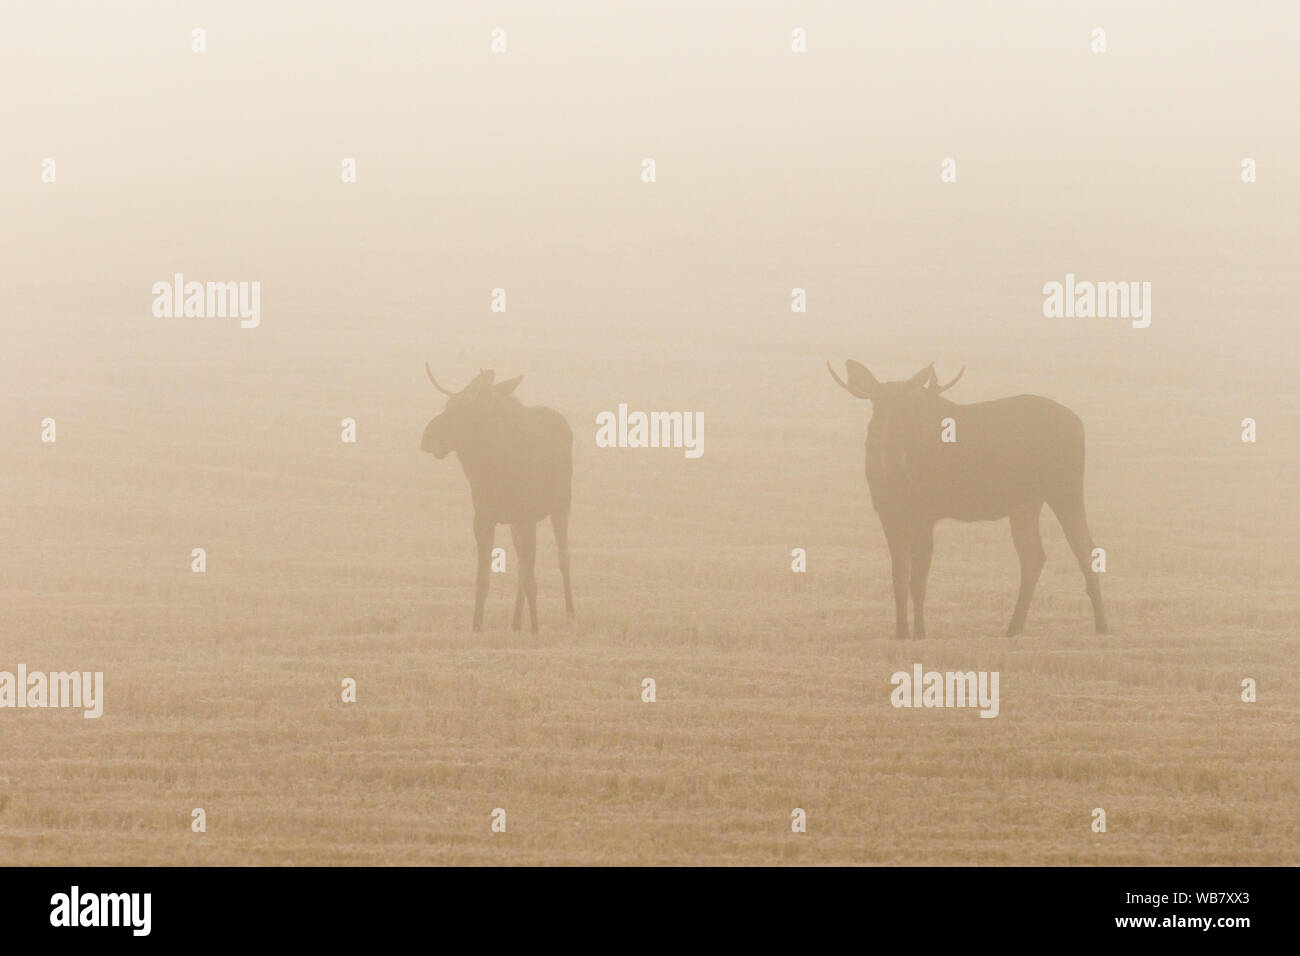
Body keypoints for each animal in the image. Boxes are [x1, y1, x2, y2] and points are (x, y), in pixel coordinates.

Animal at [421, 365, 574, 632]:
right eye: (448, 404)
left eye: (462, 409)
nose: (427, 437)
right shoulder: (483, 520)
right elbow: (483, 578)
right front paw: (476, 627)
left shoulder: (527, 518)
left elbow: (531, 578)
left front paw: (536, 629)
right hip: (518, 523)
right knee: (523, 567)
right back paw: (515, 623)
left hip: (561, 505)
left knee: (562, 556)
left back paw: (570, 614)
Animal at [827, 360, 1108, 639]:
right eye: (876, 406)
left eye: (908, 411)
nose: (894, 458)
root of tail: (1079, 422)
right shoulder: (887, 514)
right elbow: (898, 578)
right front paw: (900, 633)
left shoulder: (925, 513)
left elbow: (918, 581)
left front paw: (920, 633)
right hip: (1025, 503)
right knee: (1034, 556)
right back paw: (1013, 628)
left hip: (1065, 488)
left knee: (1086, 548)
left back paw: (1102, 626)